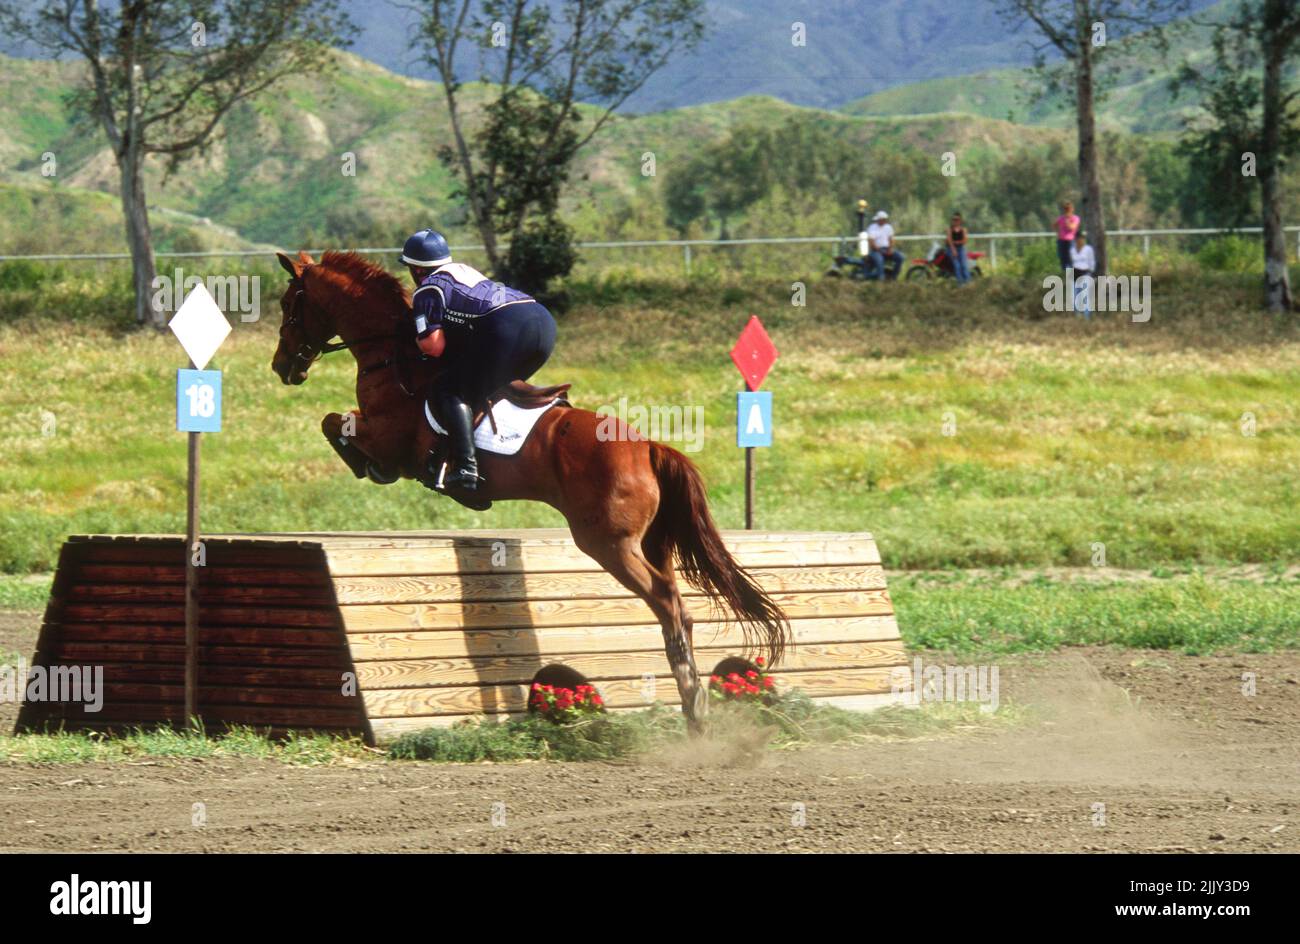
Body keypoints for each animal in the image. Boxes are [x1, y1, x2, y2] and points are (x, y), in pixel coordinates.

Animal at [269, 250, 789, 731]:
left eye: (288, 304)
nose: (281, 367)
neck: (395, 356)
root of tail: (648, 447)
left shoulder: (392, 439)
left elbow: (335, 423)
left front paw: (366, 465)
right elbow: (334, 421)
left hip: (608, 544)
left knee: (667, 603)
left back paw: (694, 705)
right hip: (651, 544)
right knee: (677, 603)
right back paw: (692, 698)